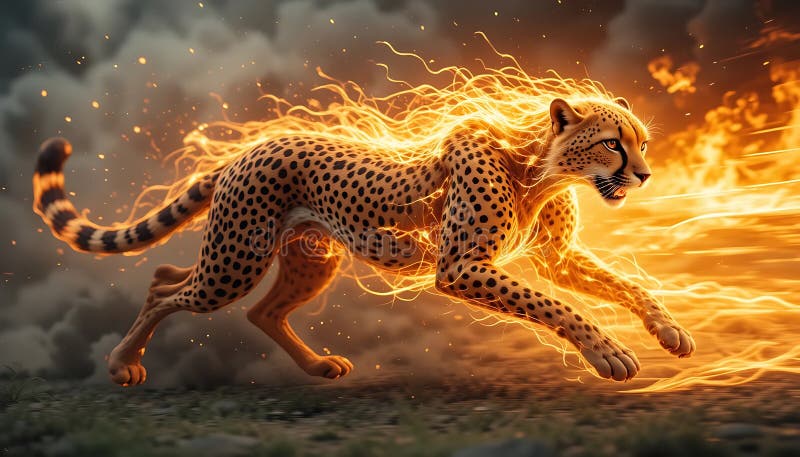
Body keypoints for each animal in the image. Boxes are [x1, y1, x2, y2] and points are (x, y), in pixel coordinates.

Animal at [33, 96, 695, 386]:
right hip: (235, 260)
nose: (643, 174)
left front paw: (668, 330)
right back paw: (123, 363)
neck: (539, 167)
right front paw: (608, 353)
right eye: (612, 143)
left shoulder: (555, 257)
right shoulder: (461, 266)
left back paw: (318, 365)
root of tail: (250, 148)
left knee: (248, 306)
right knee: (165, 288)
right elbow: (554, 305)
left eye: (641, 142)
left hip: (305, 260)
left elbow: (623, 285)